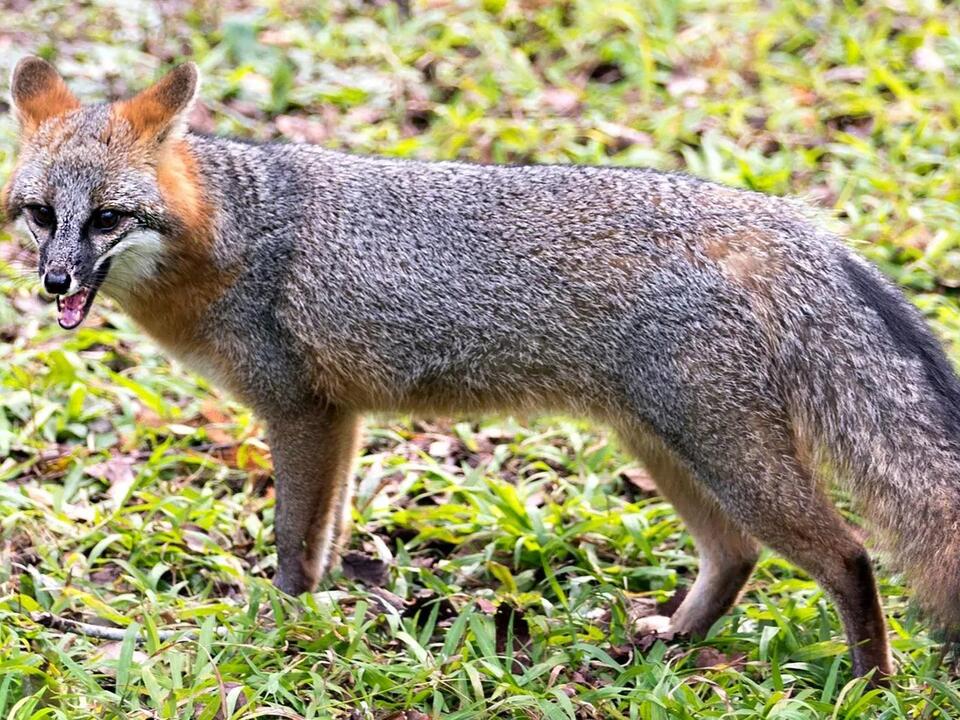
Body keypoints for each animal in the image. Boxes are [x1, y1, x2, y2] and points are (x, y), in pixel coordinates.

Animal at [6, 56, 960, 682]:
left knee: (847, 557)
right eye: (42, 214)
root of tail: (778, 219)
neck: (231, 230)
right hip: (666, 445)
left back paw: (868, 684)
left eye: (107, 219)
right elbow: (327, 535)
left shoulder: (299, 411)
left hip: (725, 454)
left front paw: (275, 626)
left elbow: (293, 544)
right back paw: (674, 639)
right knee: (736, 556)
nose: (55, 280)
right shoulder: (338, 417)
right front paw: (312, 616)